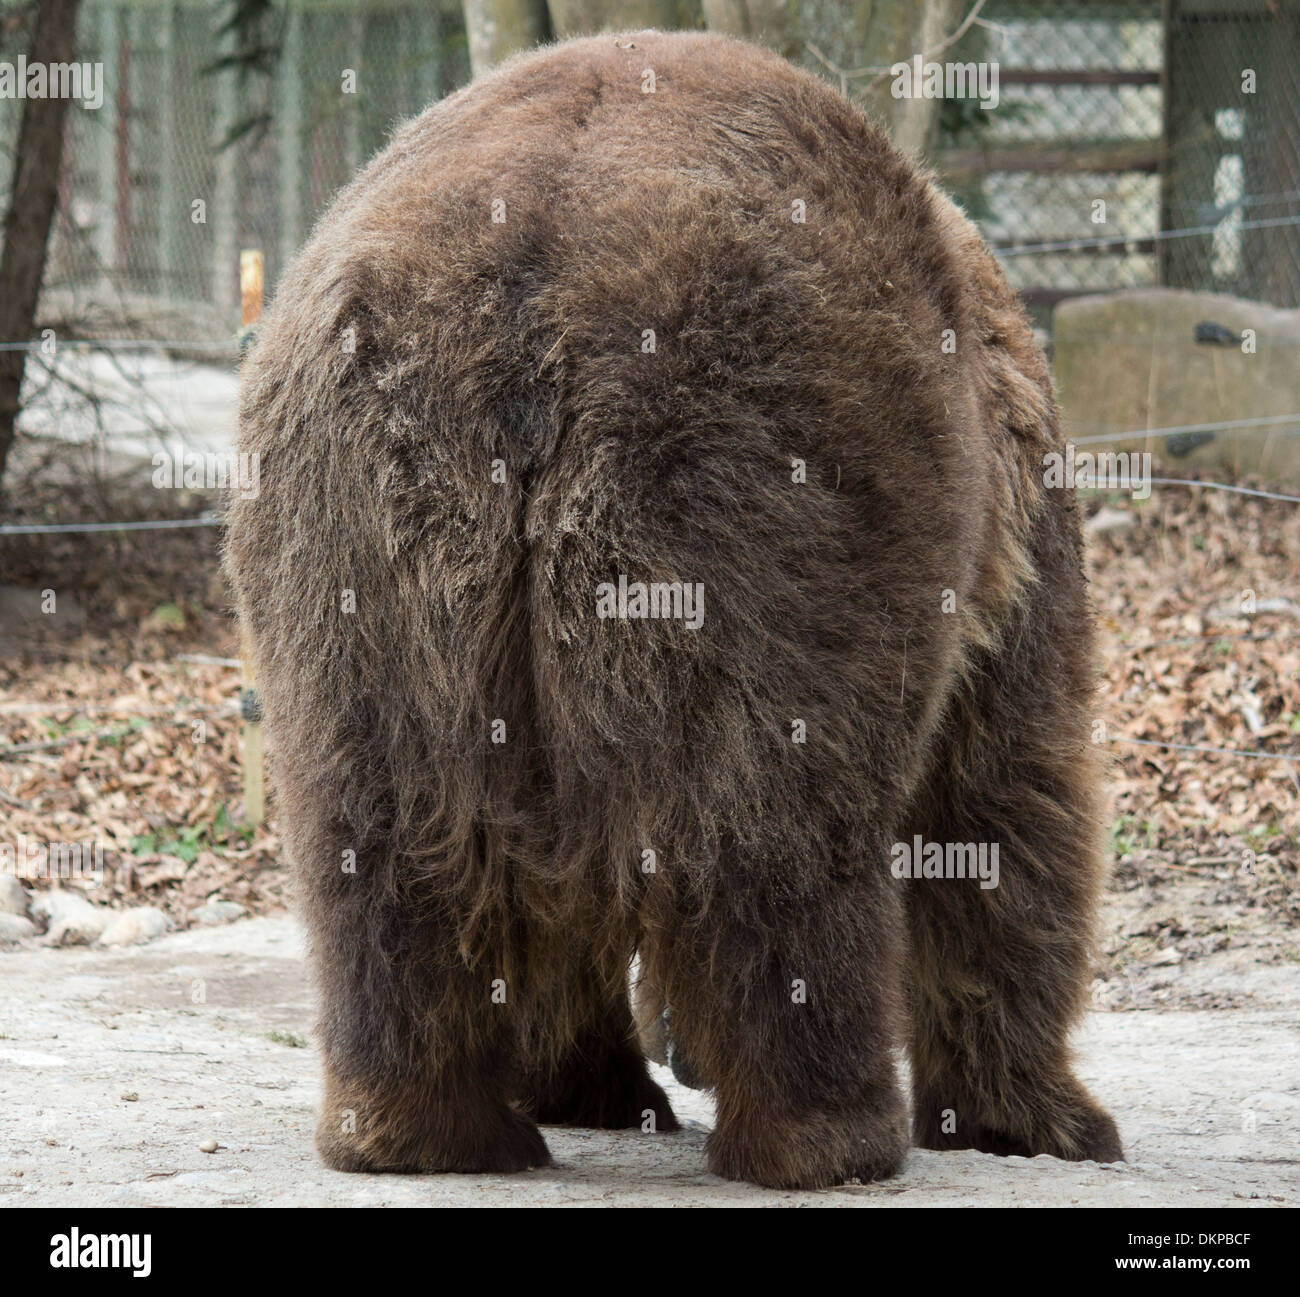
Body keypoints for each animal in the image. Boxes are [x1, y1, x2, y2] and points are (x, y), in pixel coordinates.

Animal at [224, 29, 1122, 1190]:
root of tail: (529, 292)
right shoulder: (1003, 544)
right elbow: (1006, 800)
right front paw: (1039, 1113)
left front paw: (591, 1077)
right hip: (765, 480)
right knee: (777, 831)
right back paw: (828, 1133)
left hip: (356, 522)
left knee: (387, 833)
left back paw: (417, 1124)